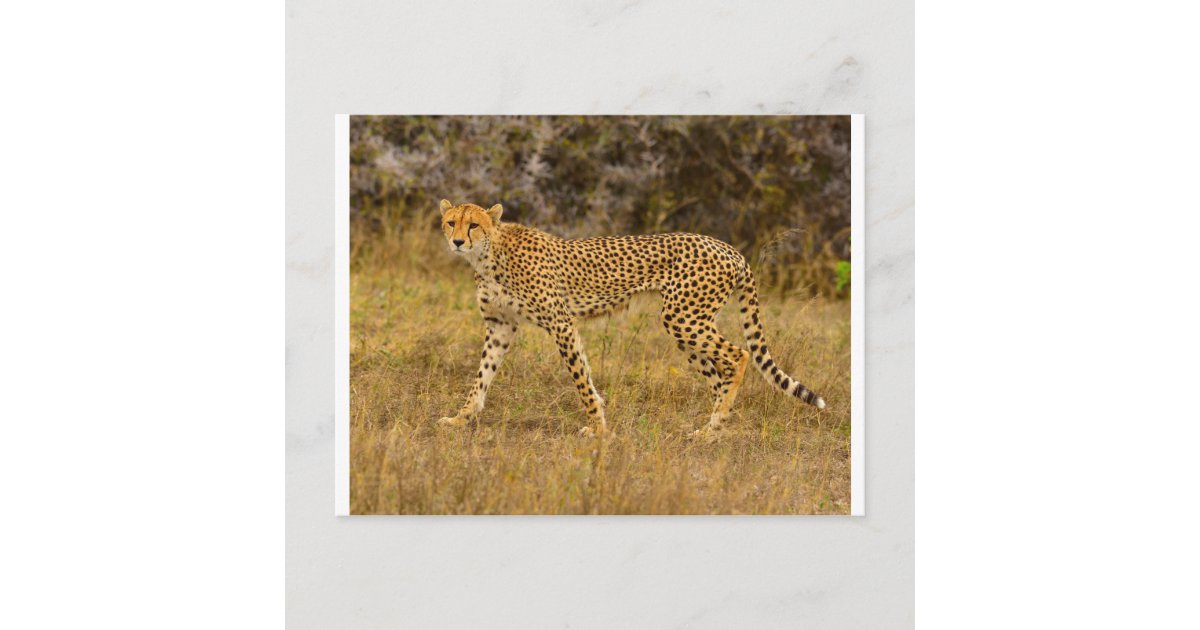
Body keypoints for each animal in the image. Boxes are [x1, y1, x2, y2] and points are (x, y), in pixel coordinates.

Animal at [434, 199, 825, 441]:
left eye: (474, 226)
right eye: (451, 223)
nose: (457, 242)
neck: (489, 255)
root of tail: (729, 248)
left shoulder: (561, 322)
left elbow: (581, 379)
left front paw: (597, 428)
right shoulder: (500, 325)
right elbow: (482, 377)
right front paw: (461, 418)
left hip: (682, 317)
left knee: (739, 355)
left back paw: (716, 423)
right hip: (687, 323)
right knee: (719, 372)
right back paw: (712, 427)